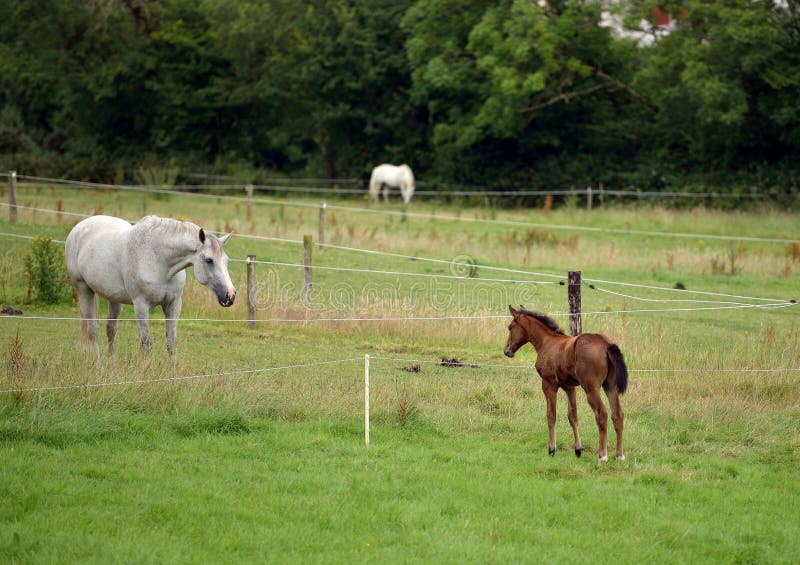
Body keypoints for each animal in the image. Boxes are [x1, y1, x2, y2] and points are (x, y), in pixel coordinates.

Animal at [65, 215, 236, 358]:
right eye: (209, 260)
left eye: (226, 260)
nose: (230, 295)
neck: (158, 259)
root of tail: (79, 227)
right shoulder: (141, 305)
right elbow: (146, 344)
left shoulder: (173, 305)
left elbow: (171, 344)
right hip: (84, 290)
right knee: (93, 331)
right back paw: (98, 365)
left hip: (114, 299)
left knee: (111, 329)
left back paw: (111, 361)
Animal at [504, 305, 628, 462]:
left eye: (510, 327)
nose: (506, 351)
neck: (547, 342)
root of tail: (606, 344)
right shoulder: (569, 387)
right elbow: (572, 416)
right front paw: (578, 450)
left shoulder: (549, 384)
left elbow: (551, 415)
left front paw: (551, 449)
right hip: (610, 386)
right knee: (617, 414)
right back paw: (619, 456)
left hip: (591, 388)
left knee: (602, 415)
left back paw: (603, 456)